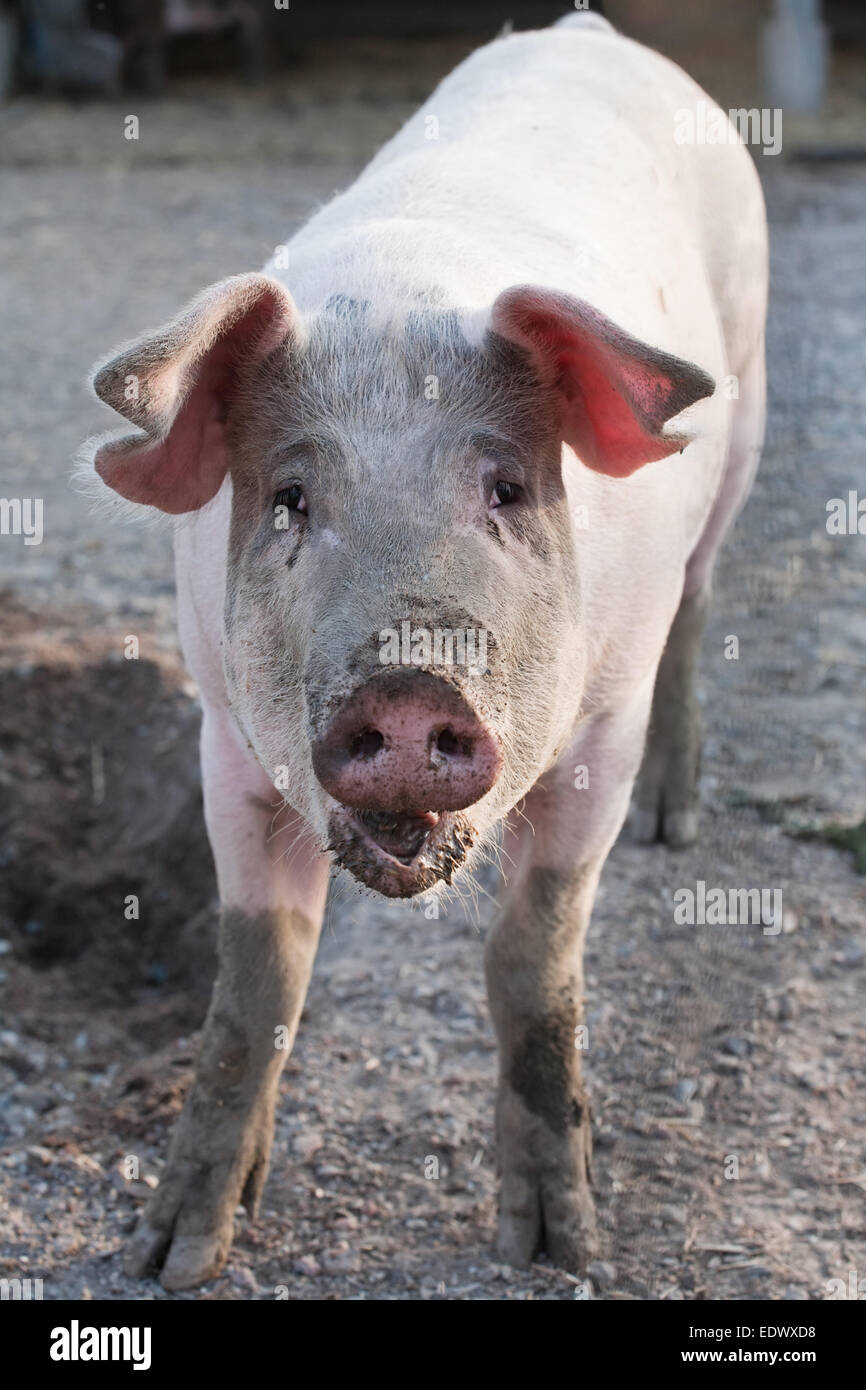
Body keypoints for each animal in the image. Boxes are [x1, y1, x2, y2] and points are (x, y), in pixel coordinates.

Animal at [82, 11, 767, 1289]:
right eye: (290, 498)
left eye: (503, 489)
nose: (406, 682)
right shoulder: (221, 734)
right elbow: (257, 982)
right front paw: (168, 1254)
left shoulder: (598, 732)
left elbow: (533, 965)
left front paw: (554, 1247)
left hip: (735, 426)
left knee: (698, 609)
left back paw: (675, 824)